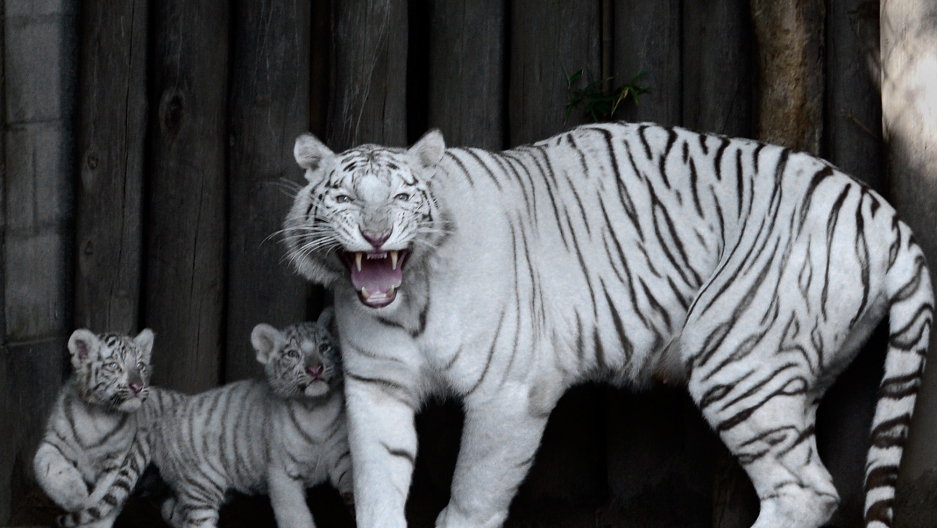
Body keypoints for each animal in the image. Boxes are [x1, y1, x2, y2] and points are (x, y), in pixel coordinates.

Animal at [34, 328, 182, 528]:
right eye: (114, 366)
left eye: (140, 366)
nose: (137, 386)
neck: (97, 416)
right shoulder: (54, 441)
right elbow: (45, 466)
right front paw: (76, 496)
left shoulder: (117, 463)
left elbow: (104, 501)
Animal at [148, 310, 352, 528]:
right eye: (292, 354)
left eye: (324, 347)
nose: (315, 369)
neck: (316, 408)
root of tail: (161, 422)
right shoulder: (283, 473)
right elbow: (296, 518)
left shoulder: (343, 458)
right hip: (201, 485)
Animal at [282, 121, 933, 528]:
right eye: (345, 198)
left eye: (401, 197)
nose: (375, 236)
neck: (407, 299)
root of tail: (884, 213)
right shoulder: (376, 388)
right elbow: (378, 488)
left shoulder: (510, 394)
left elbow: (472, 495)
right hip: (795, 370)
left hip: (739, 361)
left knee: (806, 492)